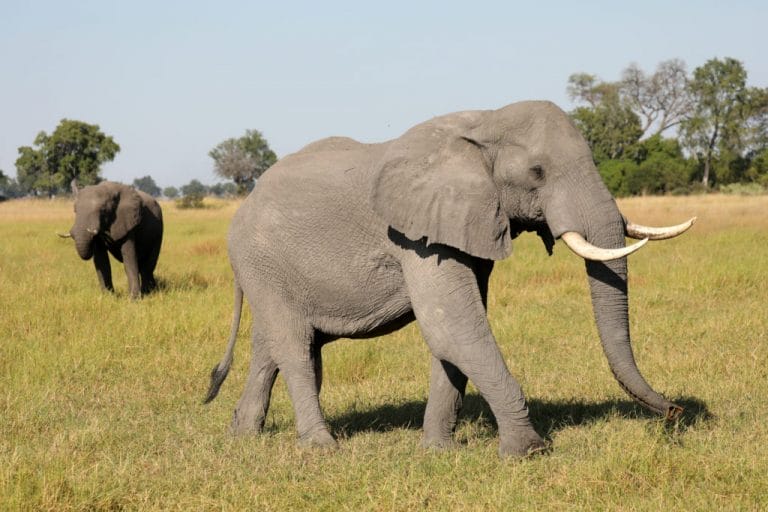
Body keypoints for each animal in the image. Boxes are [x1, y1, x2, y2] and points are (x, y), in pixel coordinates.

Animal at [204, 101, 694, 458]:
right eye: (537, 173)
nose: (675, 413)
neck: (484, 122)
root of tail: (244, 204)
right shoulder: (416, 236)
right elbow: (453, 327)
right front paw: (528, 452)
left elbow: (455, 336)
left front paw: (437, 452)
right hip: (260, 260)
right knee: (294, 346)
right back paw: (323, 449)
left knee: (276, 346)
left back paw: (242, 437)